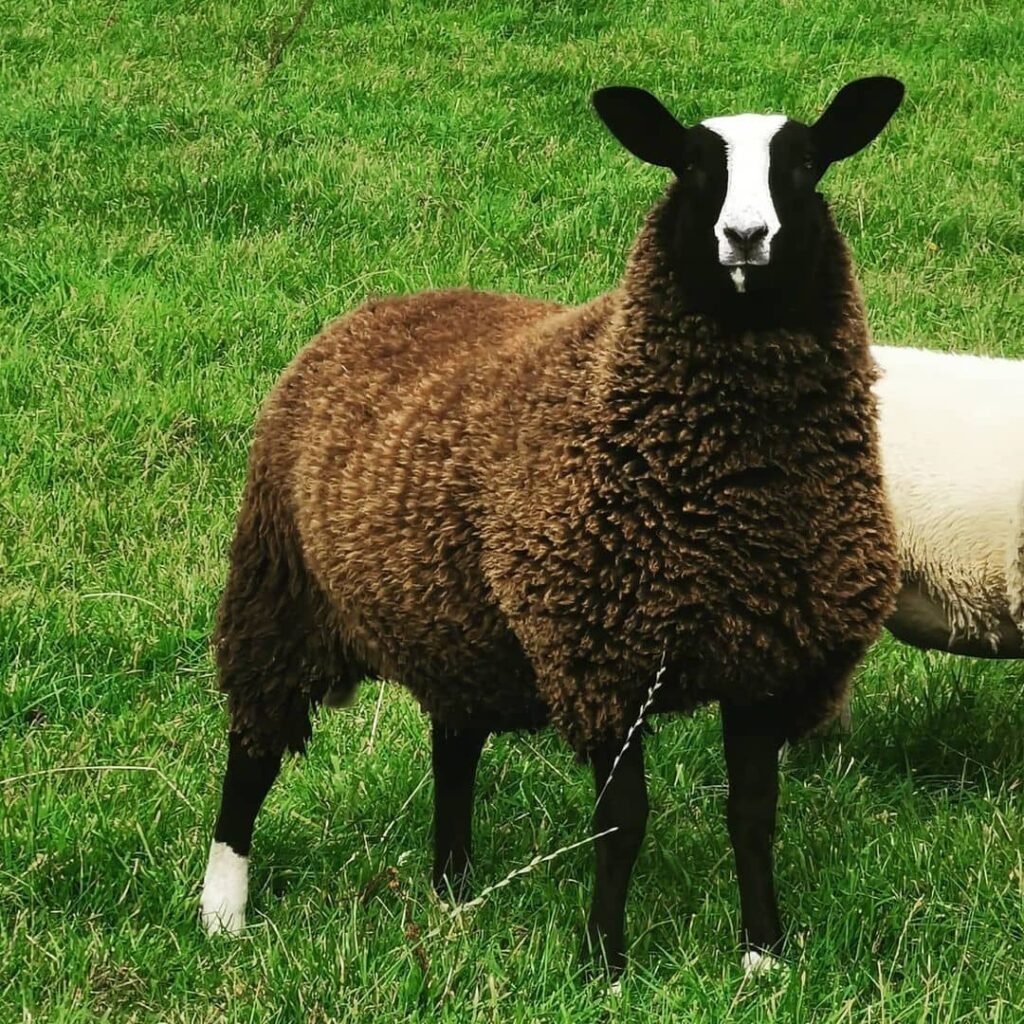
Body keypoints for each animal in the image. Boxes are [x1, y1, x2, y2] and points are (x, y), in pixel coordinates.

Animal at [200, 77, 904, 976]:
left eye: (806, 163)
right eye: (690, 165)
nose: (746, 237)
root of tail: (383, 305)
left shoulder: (766, 660)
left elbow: (753, 814)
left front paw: (763, 955)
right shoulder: (603, 656)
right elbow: (622, 822)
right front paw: (606, 961)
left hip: (451, 614)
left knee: (453, 745)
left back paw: (453, 887)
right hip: (278, 586)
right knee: (252, 748)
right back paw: (223, 908)